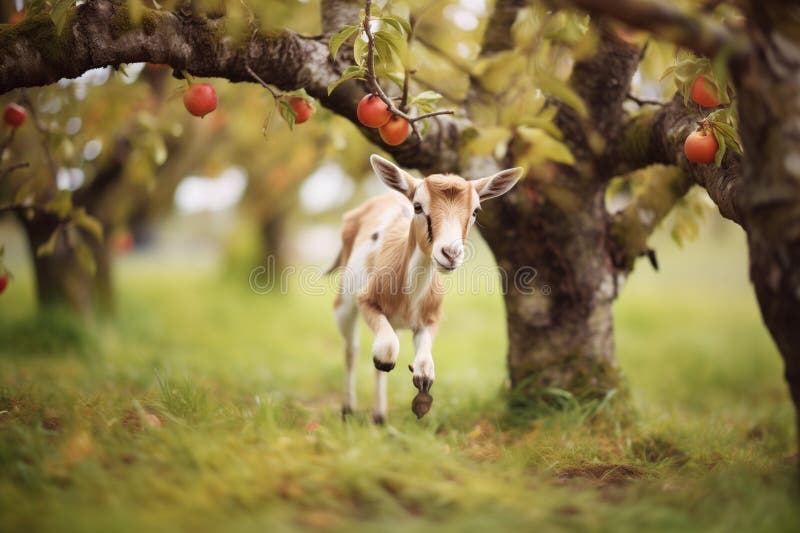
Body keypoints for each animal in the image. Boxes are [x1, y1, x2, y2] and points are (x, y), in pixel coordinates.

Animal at [331, 155, 523, 423]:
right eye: (418, 206)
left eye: (475, 211)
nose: (450, 254)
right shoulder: (366, 301)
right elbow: (386, 351)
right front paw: (385, 365)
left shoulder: (429, 320)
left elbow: (423, 365)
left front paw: (422, 399)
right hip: (344, 306)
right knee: (351, 350)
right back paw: (348, 410)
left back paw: (379, 416)